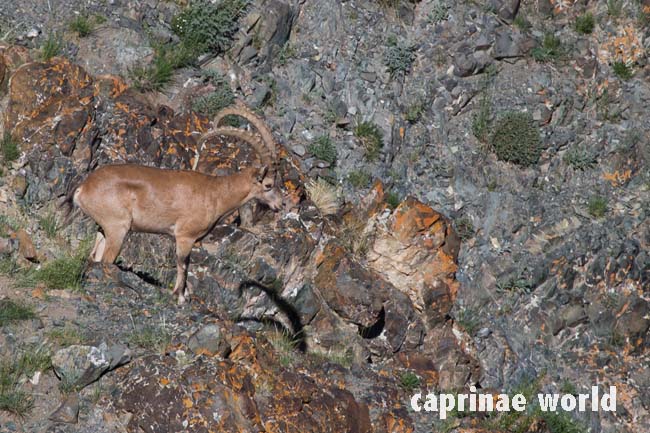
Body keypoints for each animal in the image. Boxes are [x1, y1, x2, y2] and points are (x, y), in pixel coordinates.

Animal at [64, 105, 283, 304]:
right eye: (268, 185)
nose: (280, 205)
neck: (216, 193)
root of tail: (83, 188)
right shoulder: (185, 236)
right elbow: (183, 264)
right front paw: (179, 296)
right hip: (117, 228)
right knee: (106, 260)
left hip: (103, 228)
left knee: (94, 257)